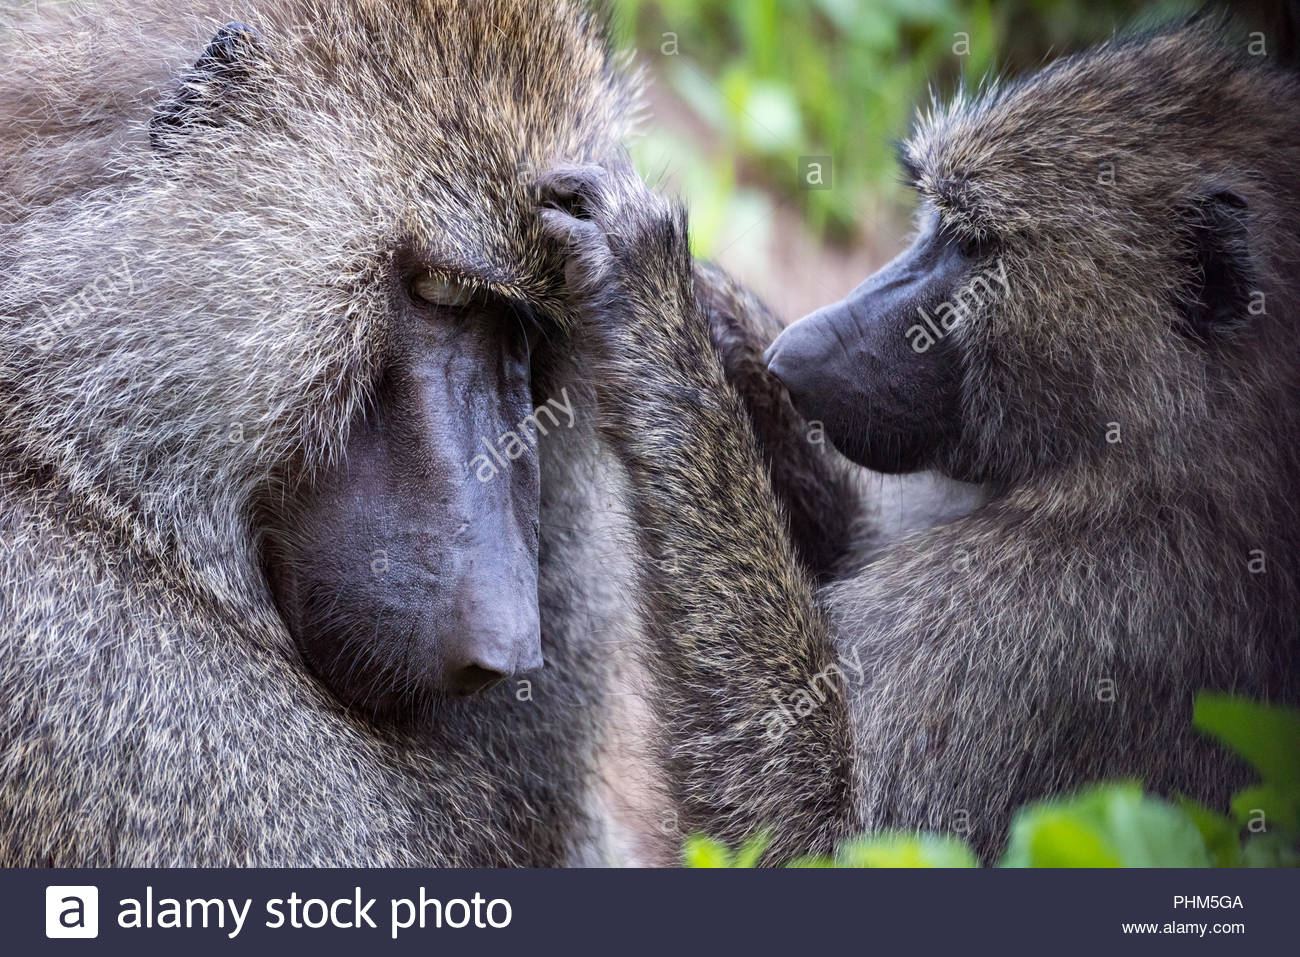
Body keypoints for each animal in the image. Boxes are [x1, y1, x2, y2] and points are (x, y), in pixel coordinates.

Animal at [537, 16, 1300, 862]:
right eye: (936, 221)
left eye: (973, 241)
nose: (797, 353)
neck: (1153, 451)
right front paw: (715, 316)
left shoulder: (1077, 615)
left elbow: (818, 838)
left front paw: (648, 299)